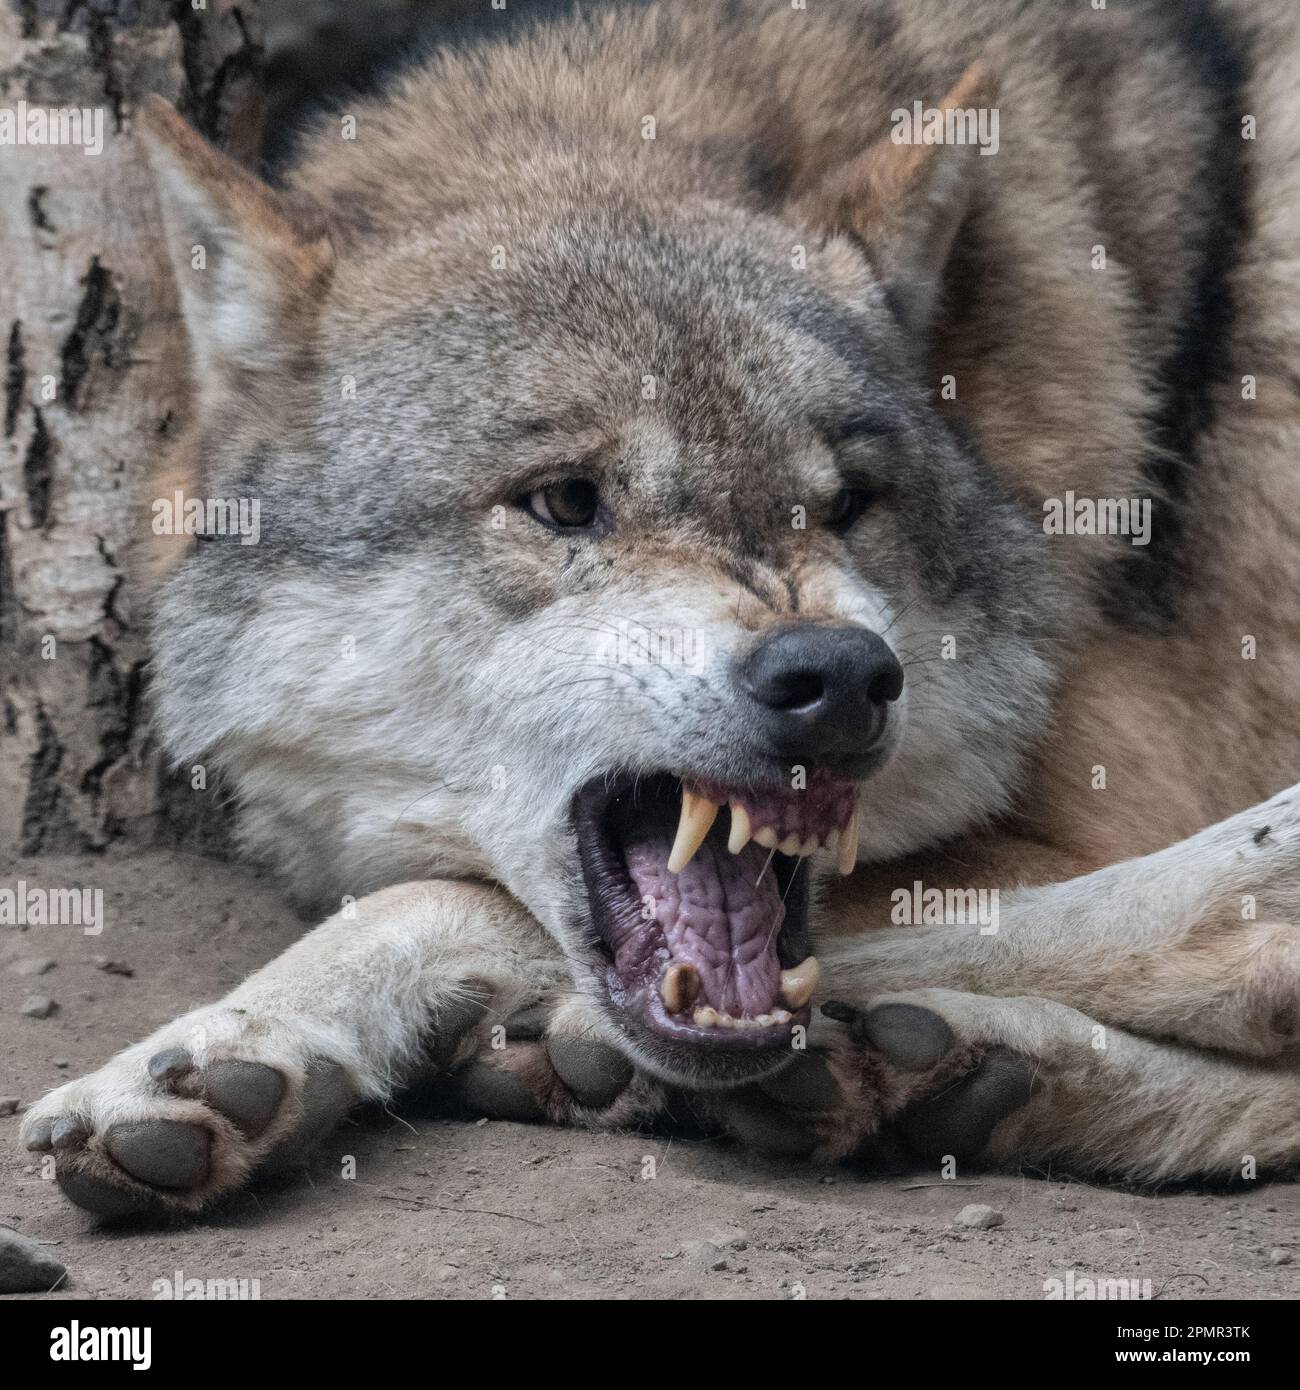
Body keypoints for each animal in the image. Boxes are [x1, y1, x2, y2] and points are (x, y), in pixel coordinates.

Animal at [22, 0, 1300, 1216]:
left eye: (848, 503)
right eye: (566, 500)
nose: (836, 675)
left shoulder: (1091, 821)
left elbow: (442, 898)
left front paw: (218, 1041)